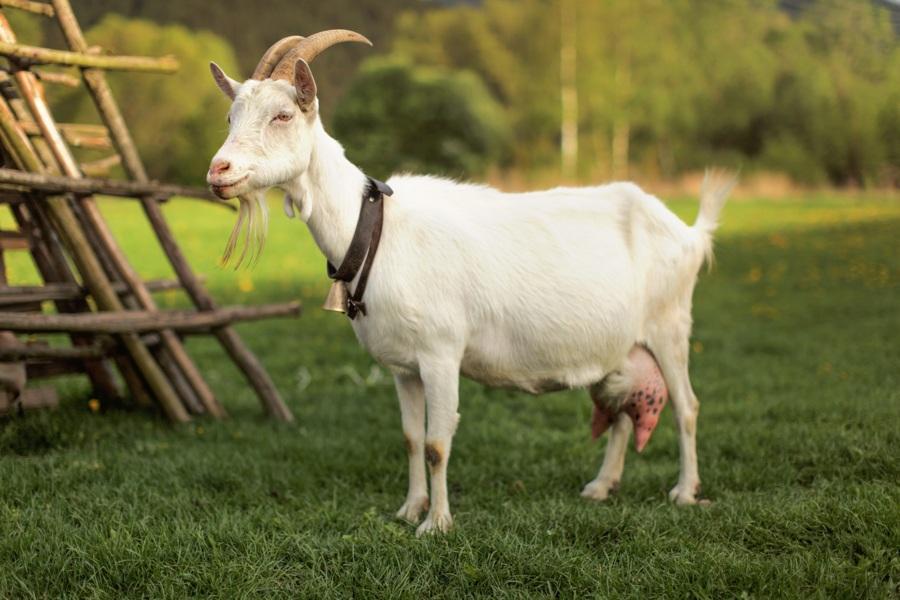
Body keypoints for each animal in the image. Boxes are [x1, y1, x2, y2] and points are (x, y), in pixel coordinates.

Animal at [207, 31, 735, 535]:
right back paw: (602, 486)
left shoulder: (441, 353)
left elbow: (437, 443)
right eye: (231, 117)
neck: (376, 229)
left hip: (669, 326)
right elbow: (410, 438)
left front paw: (437, 524)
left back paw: (685, 491)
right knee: (623, 410)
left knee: (687, 406)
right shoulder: (403, 367)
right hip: (622, 347)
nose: (218, 171)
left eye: (281, 115)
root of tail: (688, 232)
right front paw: (409, 509)